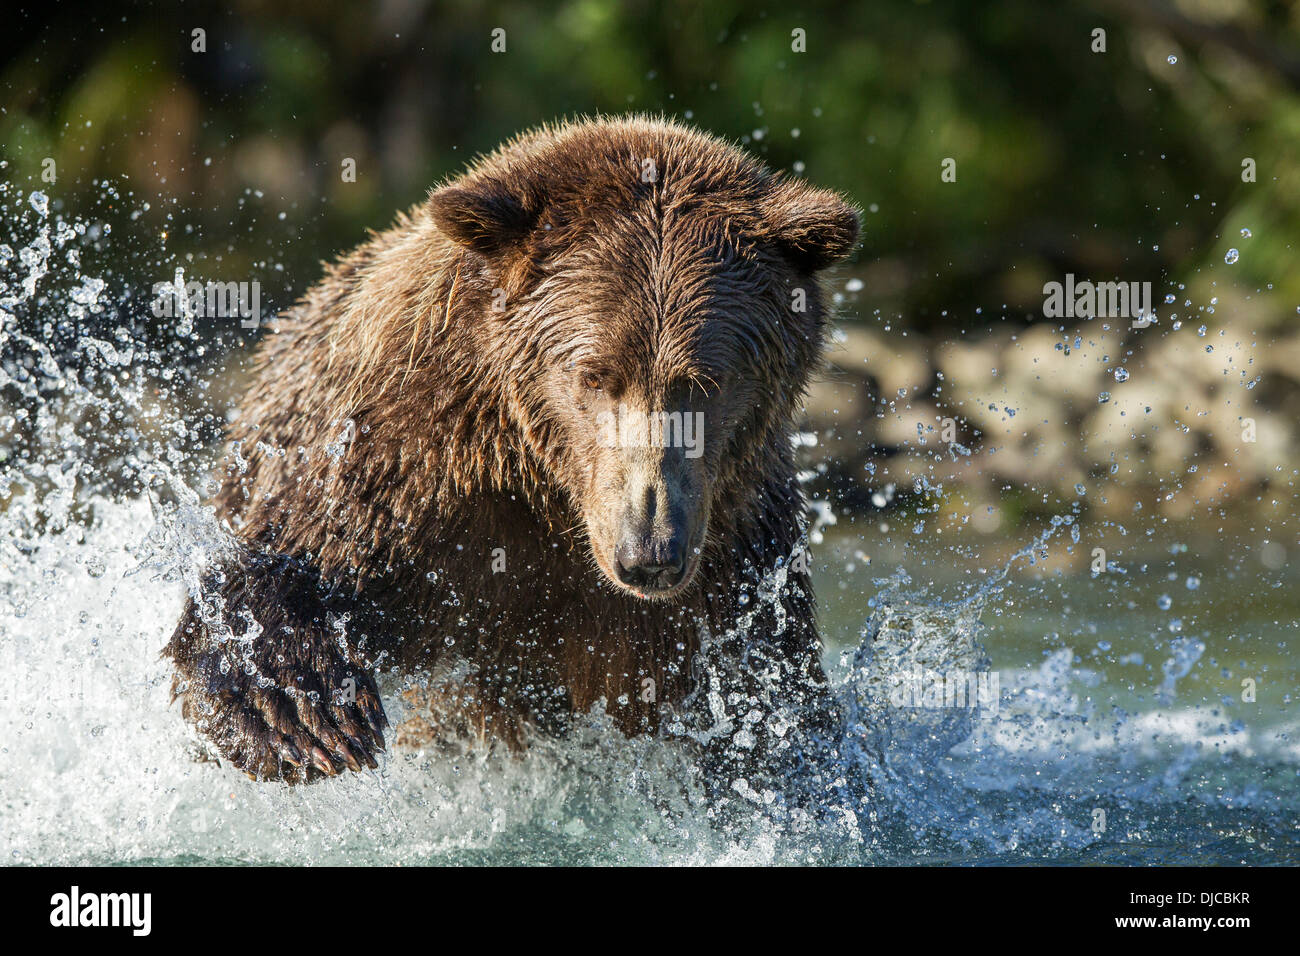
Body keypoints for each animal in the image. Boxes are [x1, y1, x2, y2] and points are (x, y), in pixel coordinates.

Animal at [165, 115, 860, 793]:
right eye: (595, 375)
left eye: (704, 382)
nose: (649, 550)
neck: (546, 491)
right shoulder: (407, 471)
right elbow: (295, 560)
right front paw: (301, 712)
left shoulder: (739, 559)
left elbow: (767, 706)